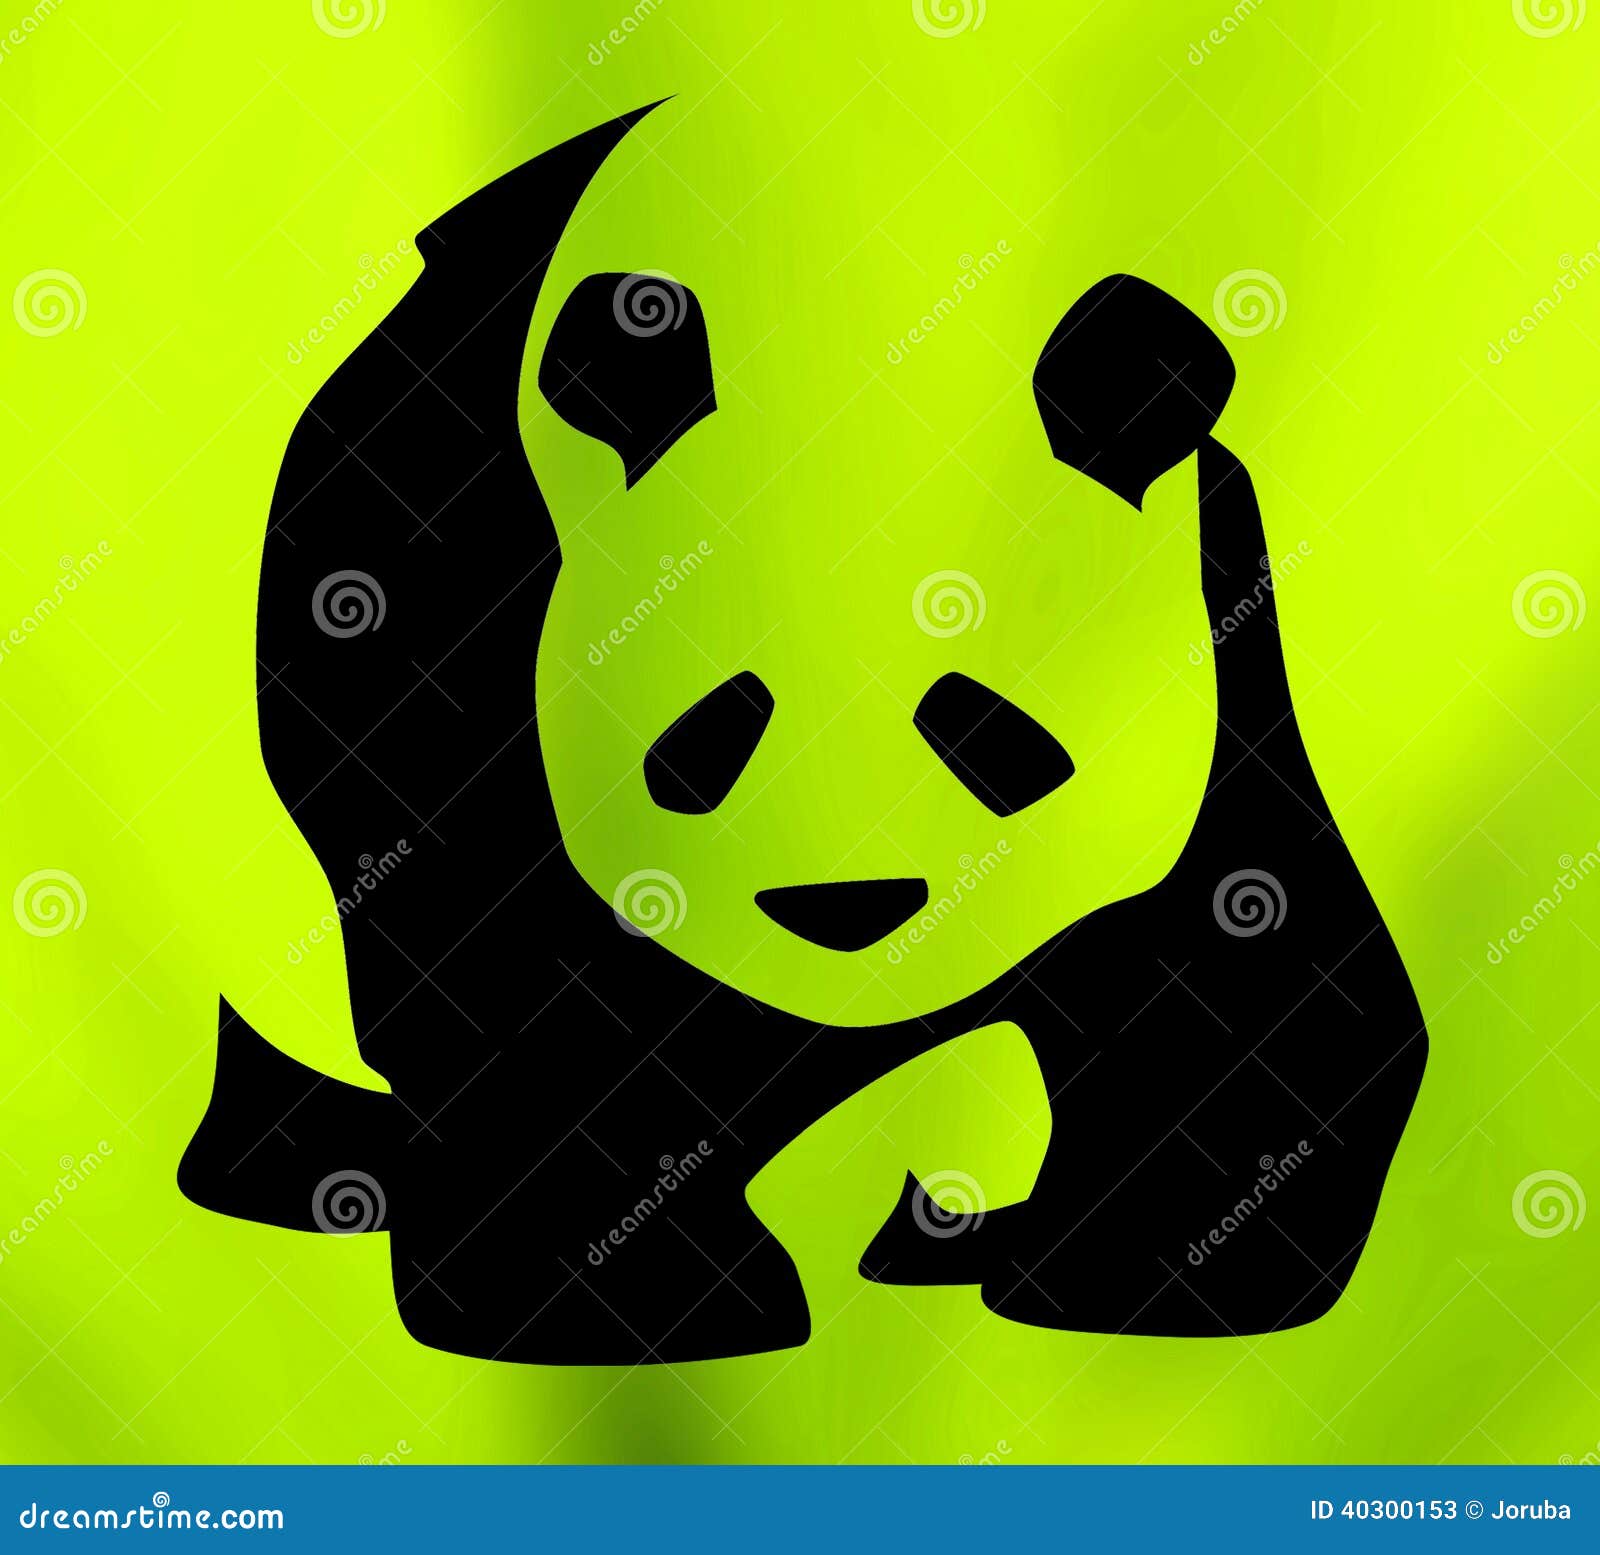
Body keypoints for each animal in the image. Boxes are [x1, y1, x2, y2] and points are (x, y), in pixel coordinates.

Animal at [179, 102, 1426, 1364]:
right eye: (710, 735)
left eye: (987, 732)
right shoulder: (441, 576)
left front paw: (1140, 1281)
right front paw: (636, 1300)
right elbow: (516, 973)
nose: (850, 908)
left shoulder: (1218, 631)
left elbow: (1245, 962)